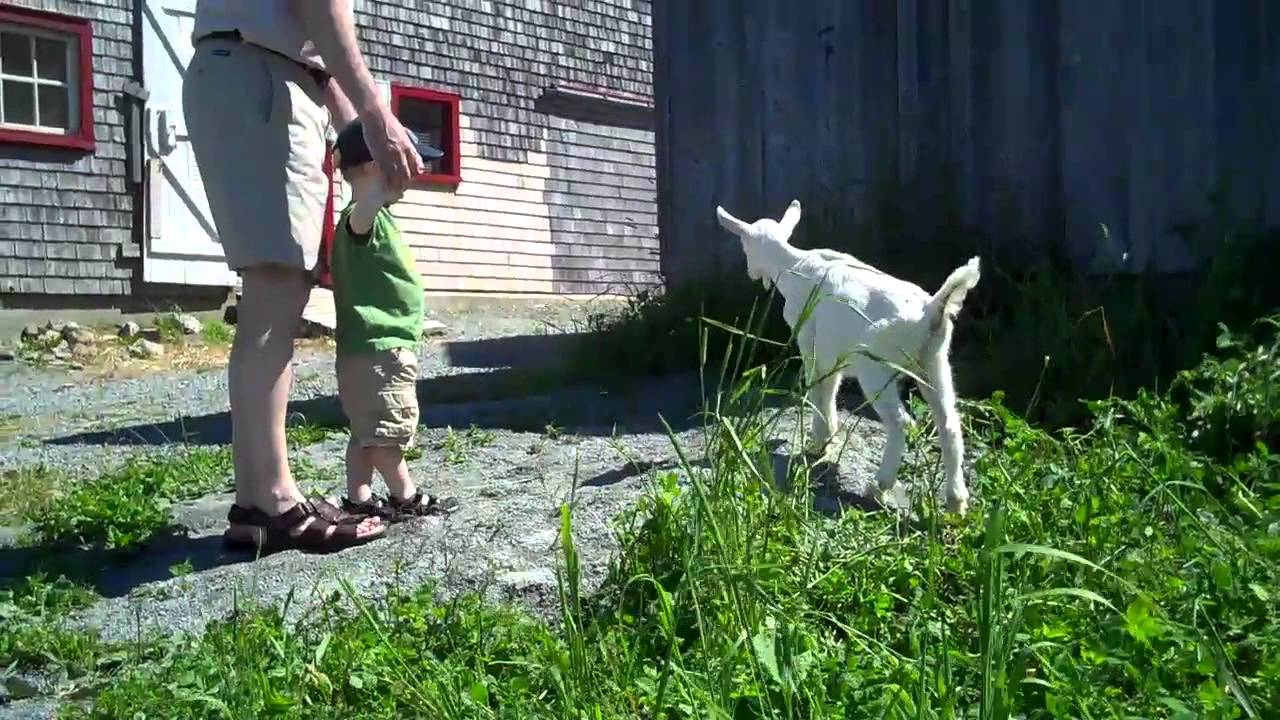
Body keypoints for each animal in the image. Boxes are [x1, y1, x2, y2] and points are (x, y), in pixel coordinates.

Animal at [714, 200, 980, 515]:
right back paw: (956, 502)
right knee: (949, 423)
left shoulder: (810, 342)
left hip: (876, 367)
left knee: (901, 422)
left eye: (745, 247)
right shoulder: (833, 350)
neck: (794, 265)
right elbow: (831, 386)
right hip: (934, 363)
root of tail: (931, 312)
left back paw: (879, 487)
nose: (751, 273)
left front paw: (820, 440)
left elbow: (819, 388)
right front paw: (826, 435)